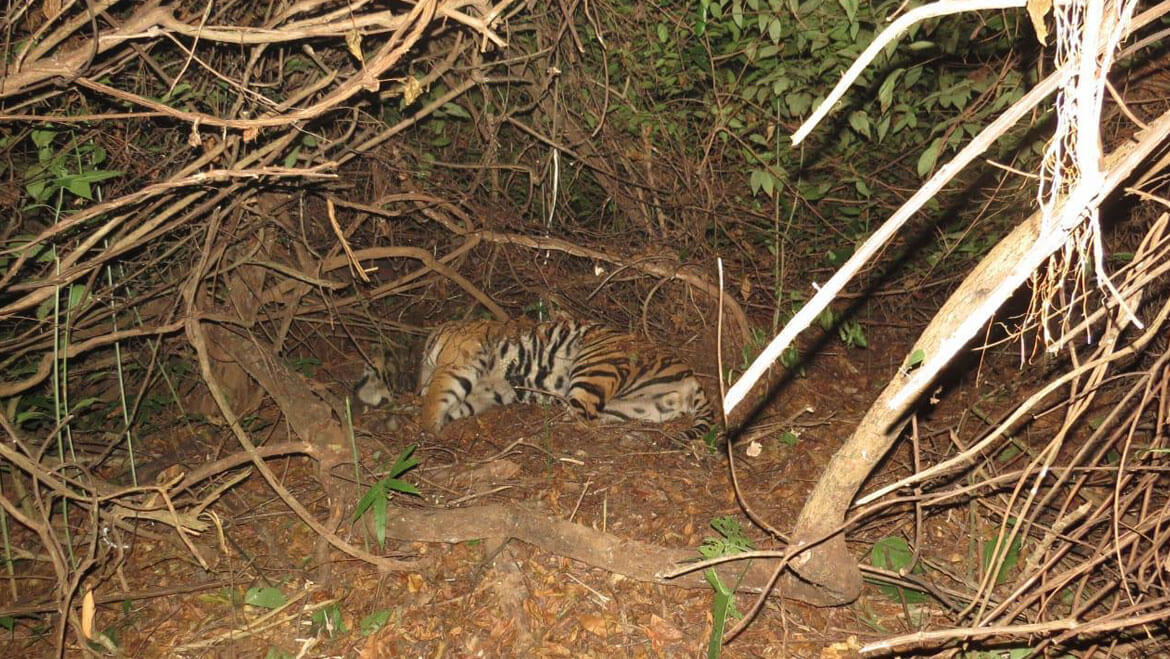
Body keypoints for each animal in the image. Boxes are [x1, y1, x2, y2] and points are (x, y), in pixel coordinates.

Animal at [417, 317, 716, 440]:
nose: (418, 388)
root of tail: (692, 376)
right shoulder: (490, 391)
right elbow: (459, 405)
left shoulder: (458, 366)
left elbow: (437, 397)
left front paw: (428, 428)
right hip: (637, 407)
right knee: (592, 420)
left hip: (593, 366)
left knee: (581, 418)